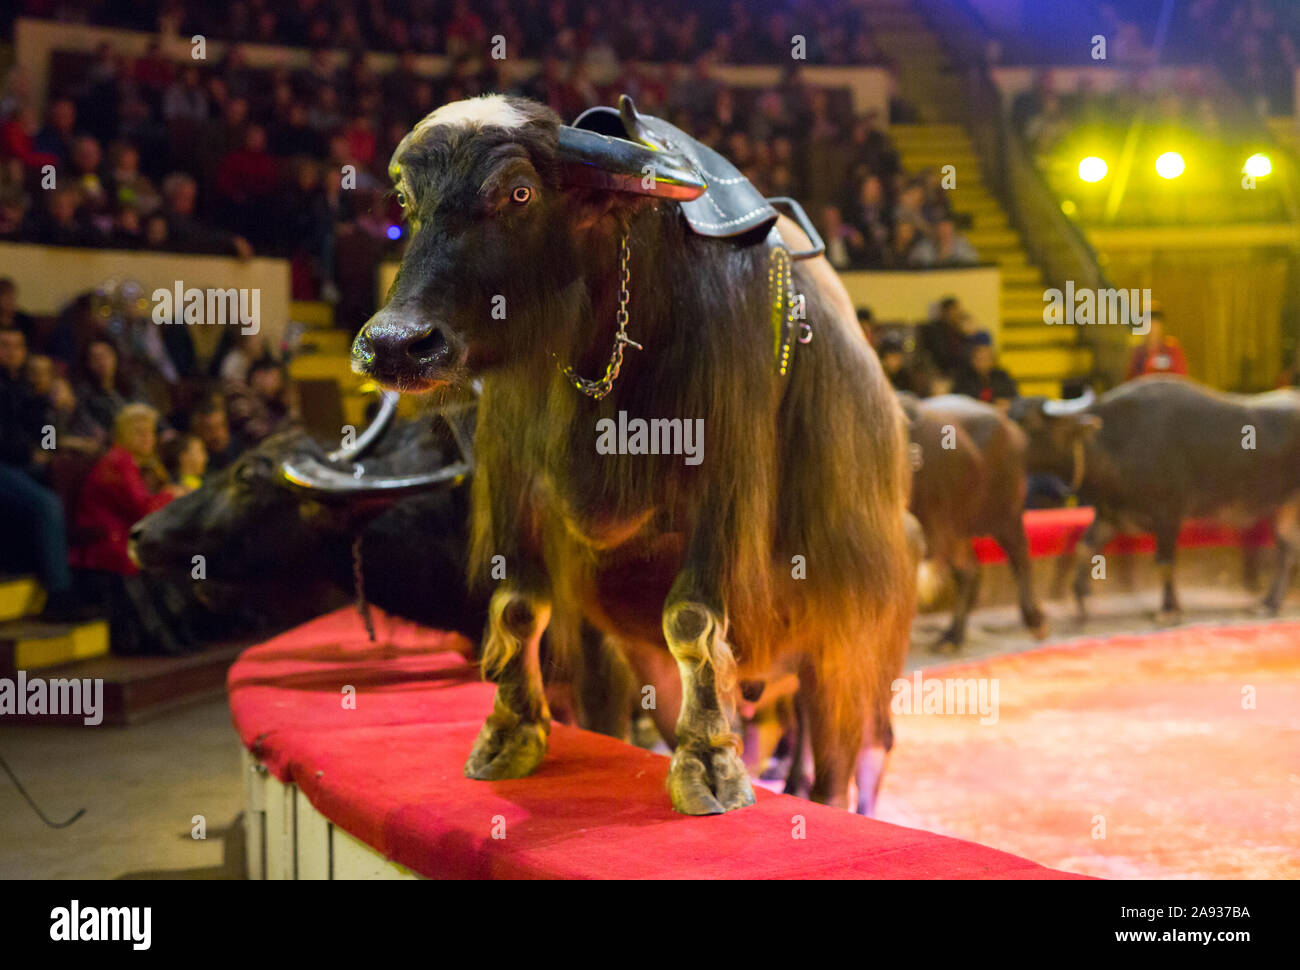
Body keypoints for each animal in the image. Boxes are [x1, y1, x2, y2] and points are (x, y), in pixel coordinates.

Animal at [351, 94, 914, 815]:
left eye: (519, 192)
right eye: (406, 197)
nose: (396, 345)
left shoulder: (721, 485)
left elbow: (693, 617)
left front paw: (709, 765)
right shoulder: (514, 476)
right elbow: (517, 604)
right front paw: (511, 732)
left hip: (847, 652)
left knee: (842, 762)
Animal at [1013, 375, 1300, 619]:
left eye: (1029, 421)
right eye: (1011, 413)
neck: (1113, 442)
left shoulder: (1169, 514)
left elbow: (1164, 563)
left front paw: (1168, 609)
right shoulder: (1110, 515)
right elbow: (1085, 547)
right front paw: (1081, 599)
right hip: (1284, 506)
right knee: (1288, 549)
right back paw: (1268, 602)